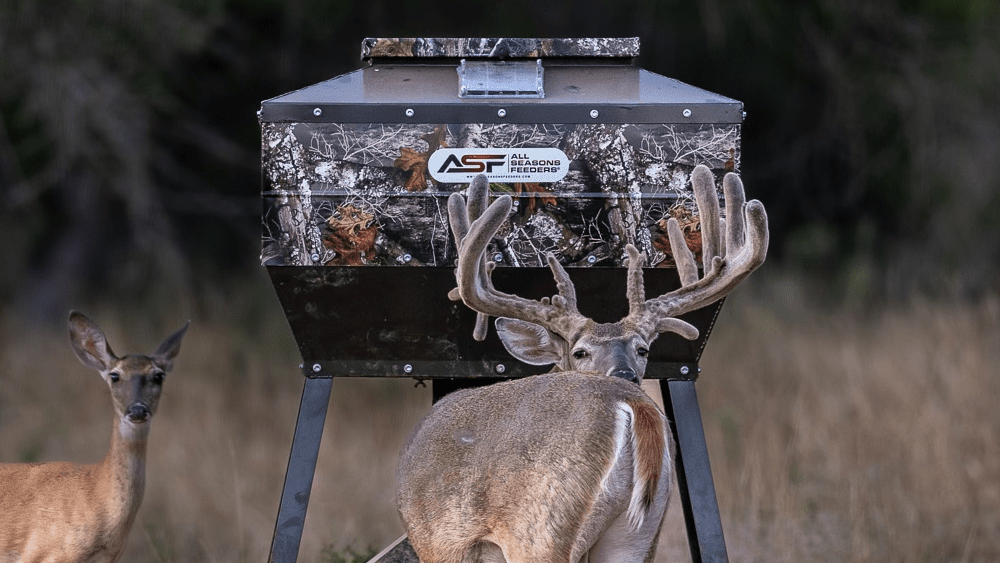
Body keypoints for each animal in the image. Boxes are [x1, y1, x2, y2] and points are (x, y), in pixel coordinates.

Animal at [396, 165, 768, 563]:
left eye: (643, 350)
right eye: (580, 353)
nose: (625, 374)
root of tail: (631, 402)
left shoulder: (440, 542)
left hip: (542, 528)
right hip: (636, 536)